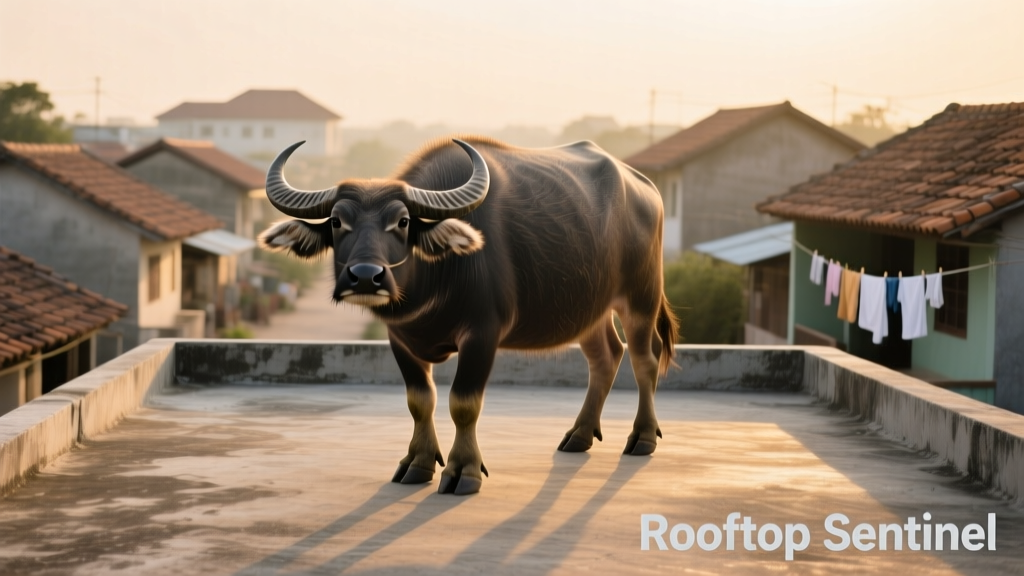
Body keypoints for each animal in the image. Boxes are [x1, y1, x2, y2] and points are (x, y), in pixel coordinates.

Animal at [259, 137, 678, 495]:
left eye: (402, 221)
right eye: (336, 221)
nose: (365, 276)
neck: (436, 282)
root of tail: (645, 189)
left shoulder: (482, 335)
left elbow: (463, 403)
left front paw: (463, 471)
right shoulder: (399, 339)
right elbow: (419, 400)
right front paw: (417, 463)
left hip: (640, 297)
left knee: (645, 358)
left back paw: (642, 437)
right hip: (589, 307)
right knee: (606, 356)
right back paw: (579, 434)